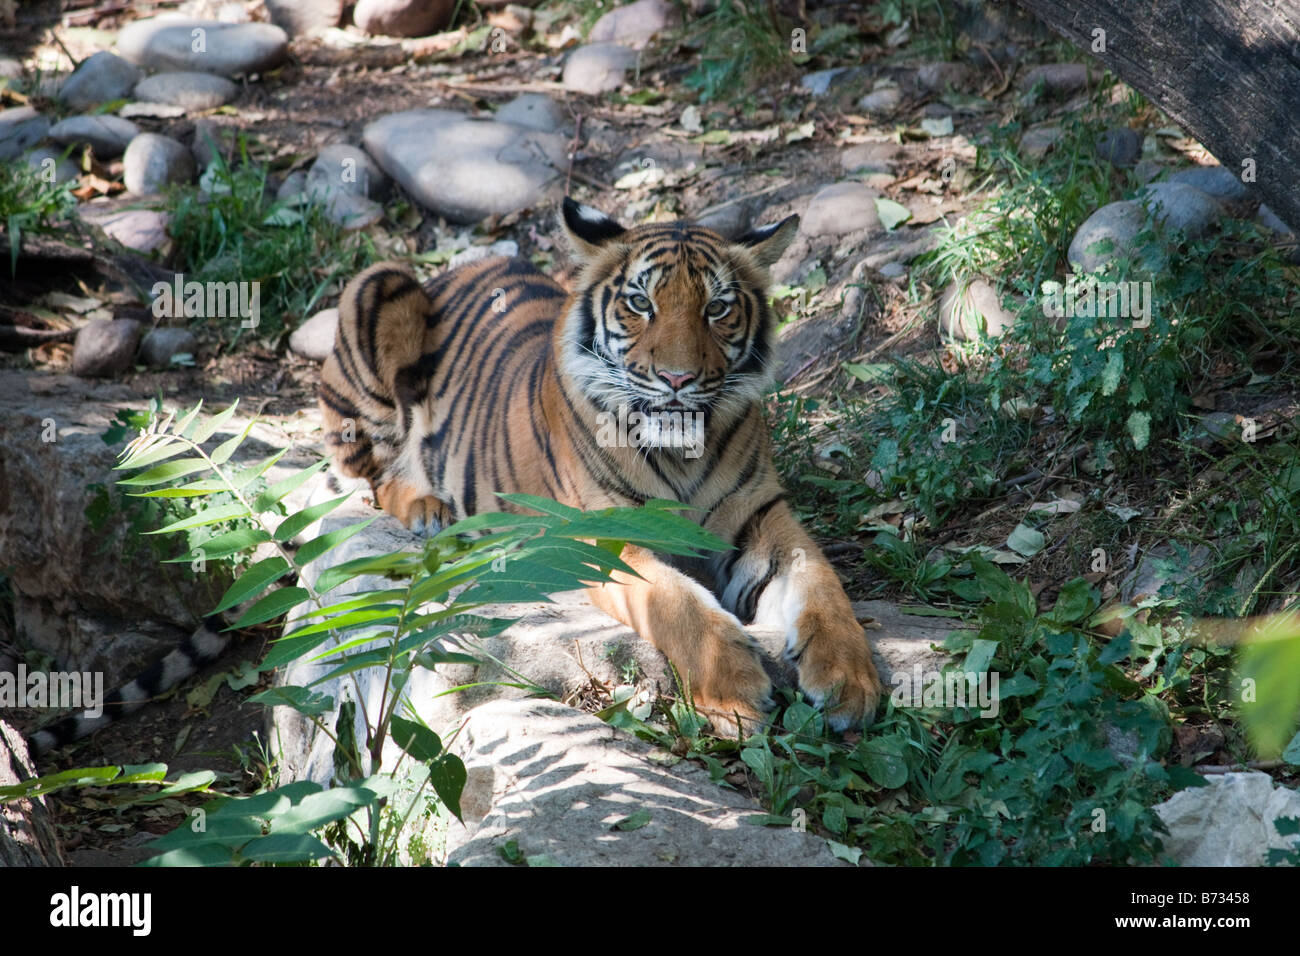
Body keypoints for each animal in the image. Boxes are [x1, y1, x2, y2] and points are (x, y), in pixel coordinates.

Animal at [318, 198, 882, 736]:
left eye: (717, 308)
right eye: (640, 303)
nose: (677, 379)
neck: (683, 453)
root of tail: (456, 269)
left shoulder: (760, 514)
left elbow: (820, 580)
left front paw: (849, 681)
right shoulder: (600, 536)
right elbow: (675, 602)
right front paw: (735, 694)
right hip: (379, 287)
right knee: (375, 474)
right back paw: (429, 511)